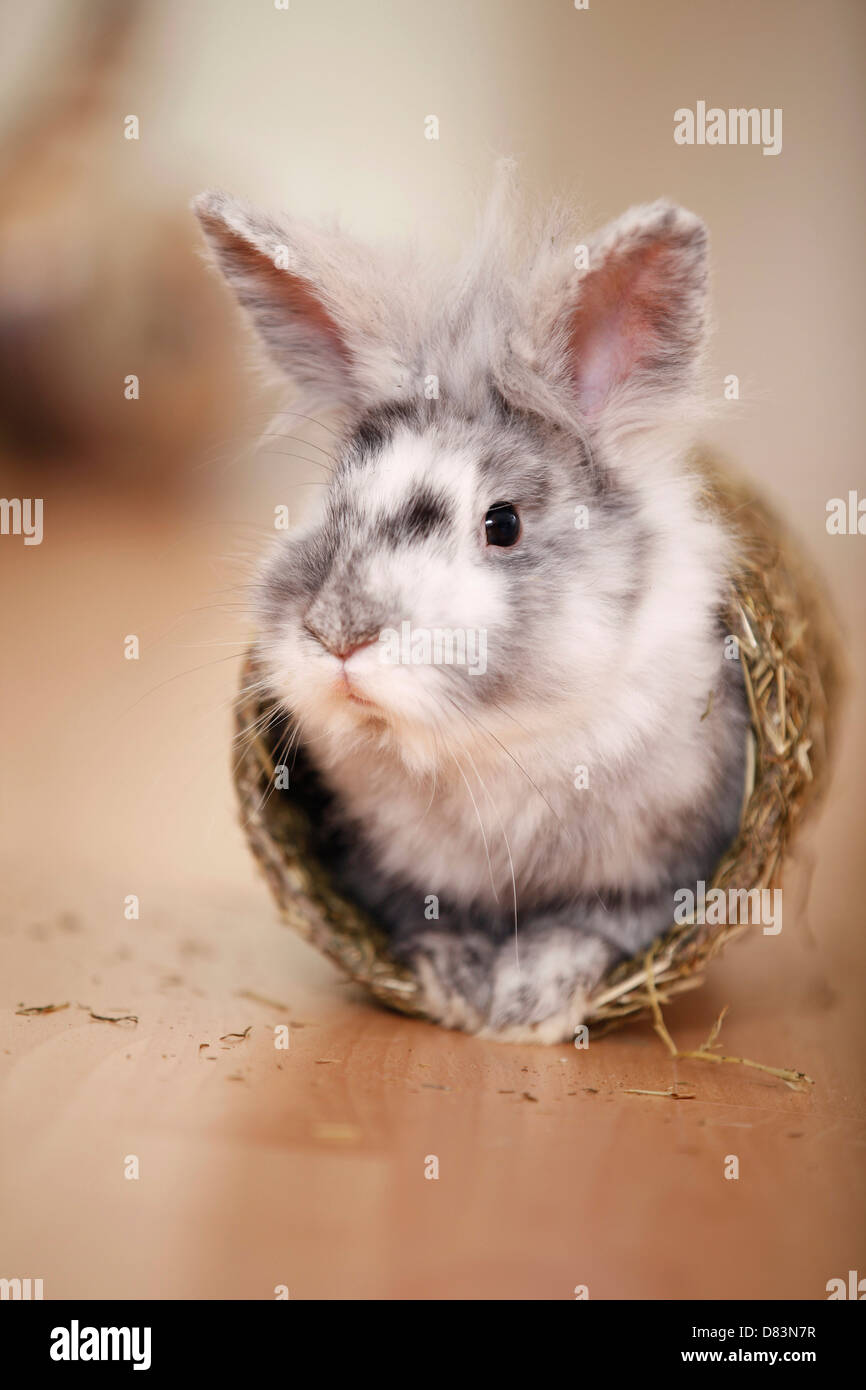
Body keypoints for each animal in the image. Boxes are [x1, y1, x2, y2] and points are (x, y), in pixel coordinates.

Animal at [194, 171, 747, 1043]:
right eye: (335, 504)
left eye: (503, 523)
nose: (339, 633)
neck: (490, 744)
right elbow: (430, 922)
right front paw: (458, 989)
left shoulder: (670, 873)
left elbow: (585, 928)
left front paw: (527, 1007)